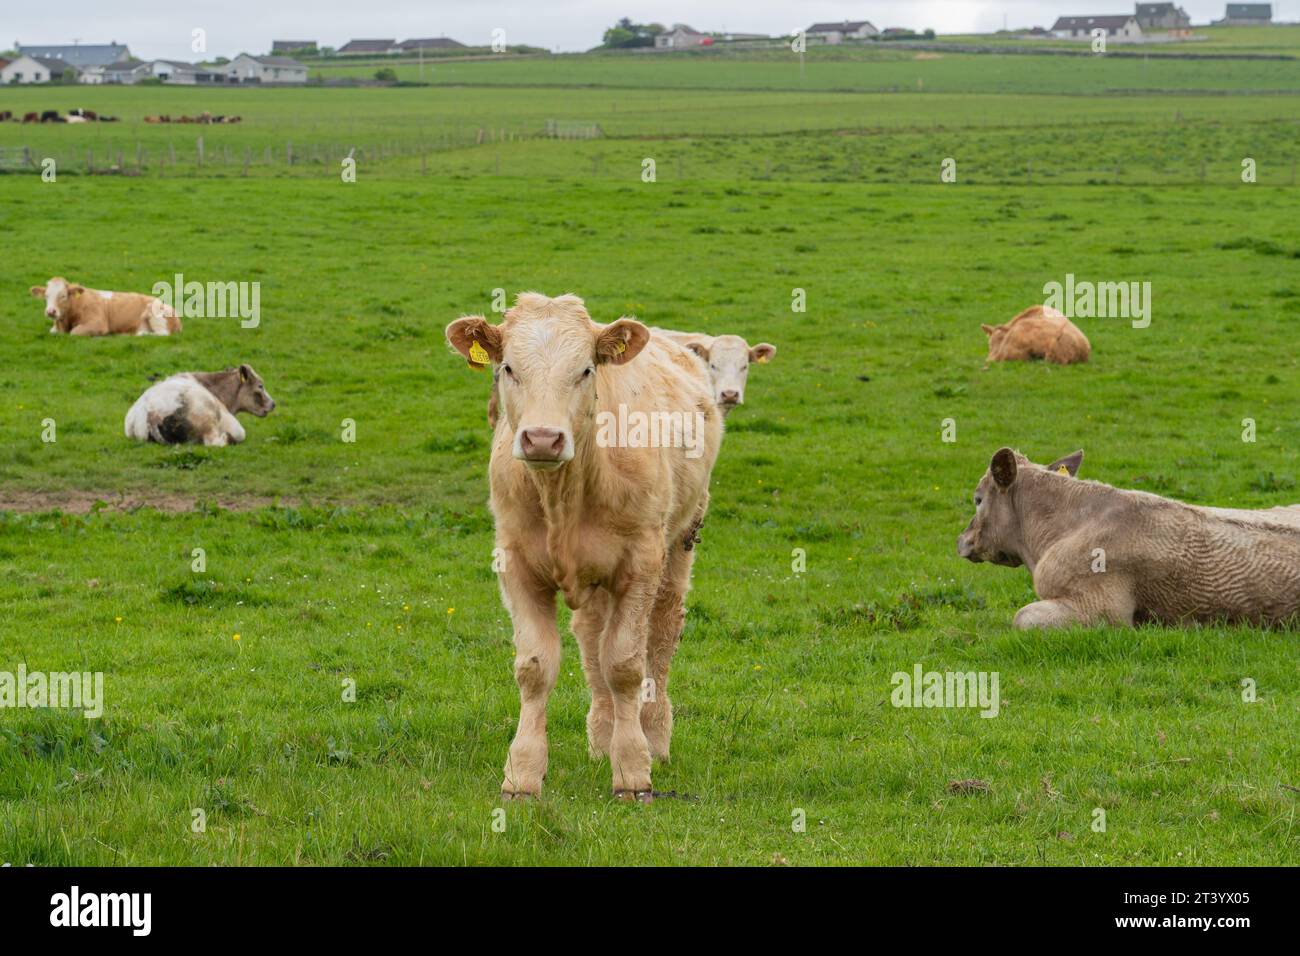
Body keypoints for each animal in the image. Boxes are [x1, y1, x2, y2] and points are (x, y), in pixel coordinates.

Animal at [31, 277, 181, 336]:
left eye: (63, 296)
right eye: (46, 296)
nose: (51, 311)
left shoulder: (97, 323)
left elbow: (75, 332)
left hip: (156, 316)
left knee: (162, 334)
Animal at [446, 293, 723, 802]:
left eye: (586, 370)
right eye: (508, 368)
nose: (542, 438)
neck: (564, 494)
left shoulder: (640, 564)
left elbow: (626, 666)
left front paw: (632, 770)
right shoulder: (516, 565)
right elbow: (536, 667)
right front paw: (522, 774)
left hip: (681, 540)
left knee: (661, 635)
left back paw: (655, 737)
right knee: (592, 637)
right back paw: (602, 735)